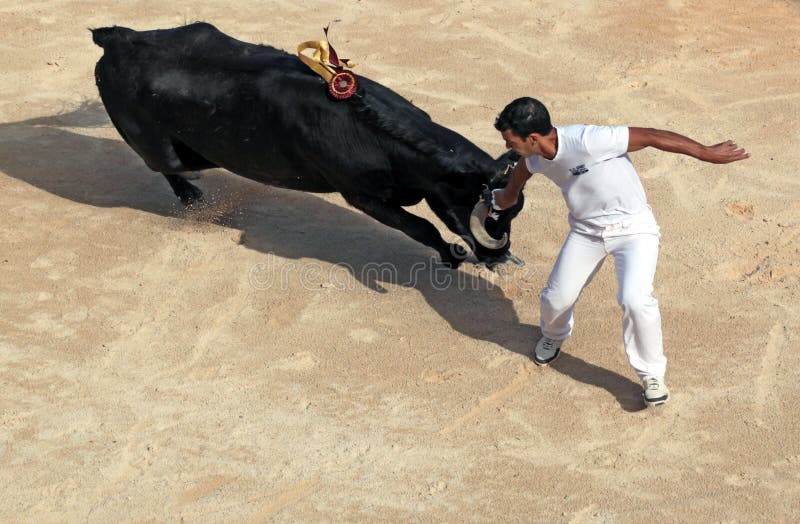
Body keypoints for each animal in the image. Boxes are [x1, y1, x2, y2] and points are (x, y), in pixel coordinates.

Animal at [91, 23, 525, 269]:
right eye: (488, 211)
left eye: (513, 213)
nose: (500, 255)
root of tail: (118, 41)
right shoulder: (363, 196)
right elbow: (421, 227)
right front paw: (451, 257)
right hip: (162, 148)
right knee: (166, 166)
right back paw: (192, 196)